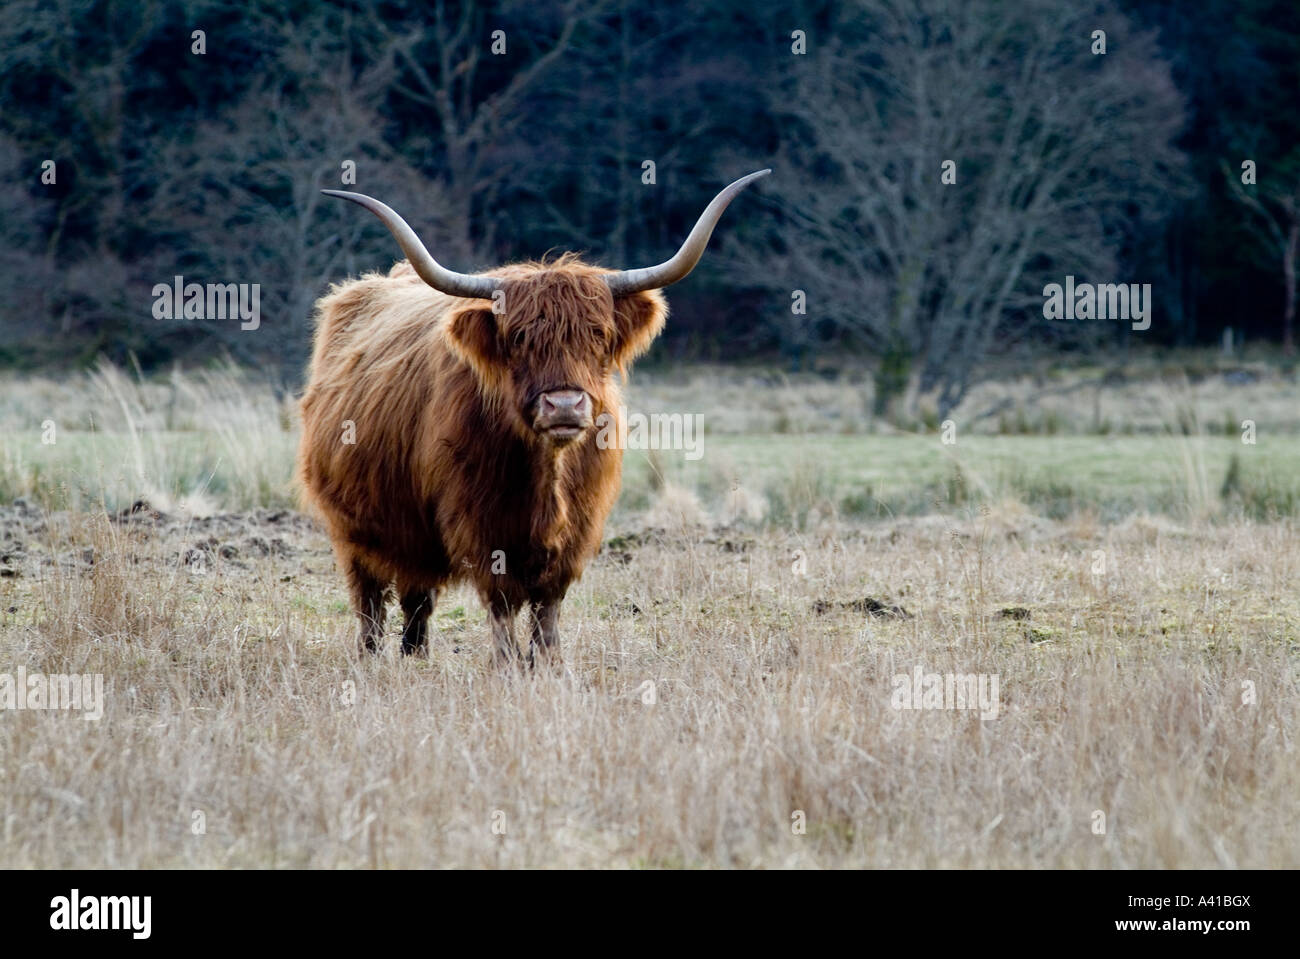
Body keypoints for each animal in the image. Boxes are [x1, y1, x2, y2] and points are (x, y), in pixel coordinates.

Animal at [298, 170, 769, 666]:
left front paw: (548, 662)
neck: (547, 471)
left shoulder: (576, 528)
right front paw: (507, 665)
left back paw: (415, 655)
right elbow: (502, 600)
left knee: (416, 594)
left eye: (598, 335)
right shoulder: (481, 523)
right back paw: (372, 656)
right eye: (519, 338)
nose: (563, 406)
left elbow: (548, 604)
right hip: (354, 524)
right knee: (370, 595)